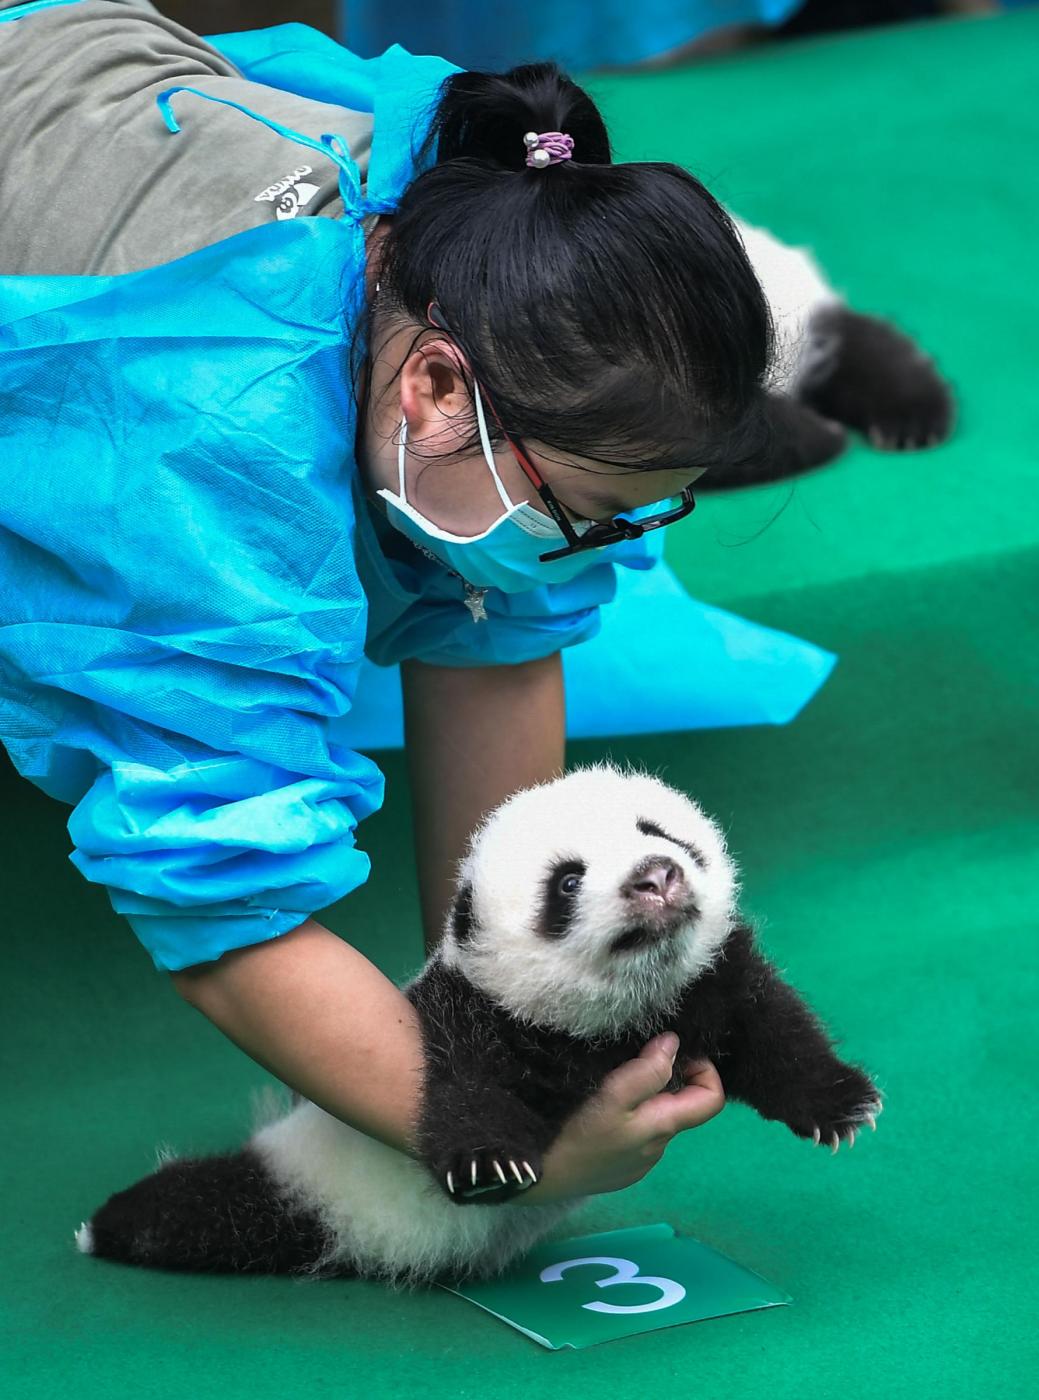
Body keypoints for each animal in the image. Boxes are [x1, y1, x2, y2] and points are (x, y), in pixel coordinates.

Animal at [75, 761, 882, 1291]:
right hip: (314, 1188)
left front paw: (841, 1103)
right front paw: (489, 1161)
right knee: (213, 1210)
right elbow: (465, 1085)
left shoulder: (708, 980)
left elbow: (771, 1029)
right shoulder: (480, 1013)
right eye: (567, 880)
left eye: (659, 832)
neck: (627, 1010)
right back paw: (108, 1224)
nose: (657, 876)